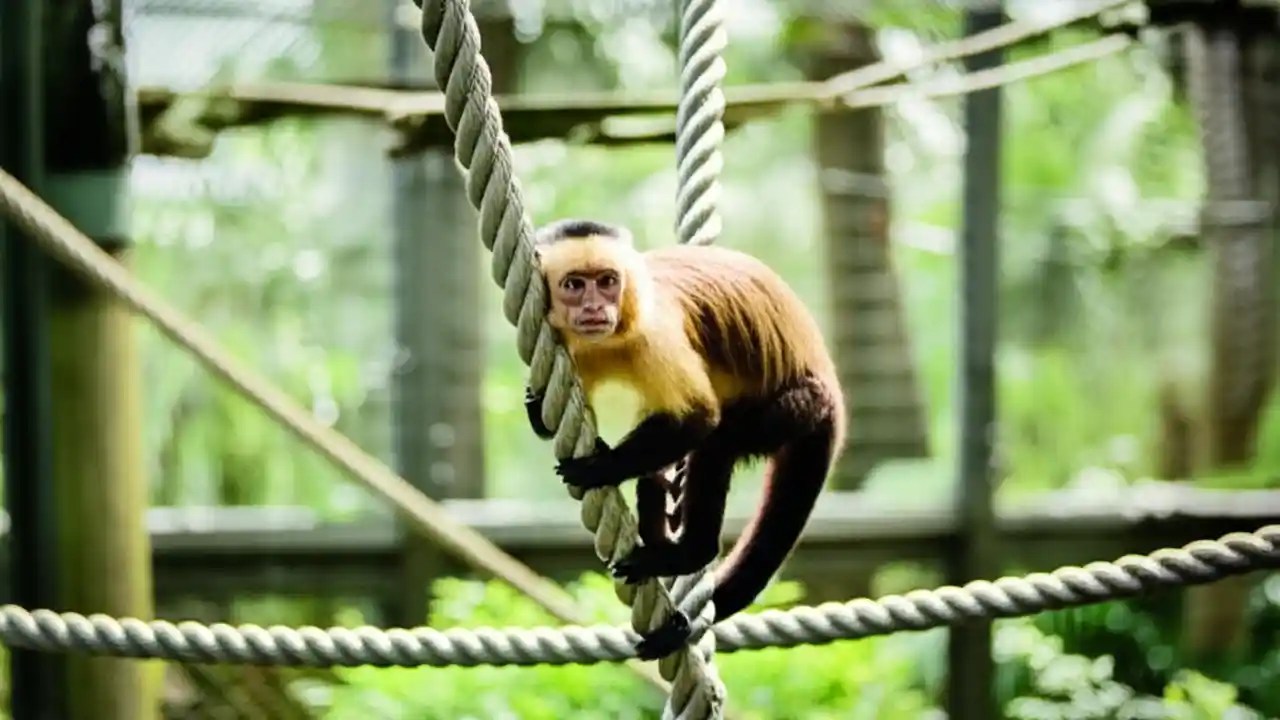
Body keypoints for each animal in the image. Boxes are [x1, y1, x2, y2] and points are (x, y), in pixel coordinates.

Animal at [523, 218, 846, 660]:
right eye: (574, 284)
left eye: (607, 281)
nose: (594, 308)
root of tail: (833, 397)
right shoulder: (568, 345)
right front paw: (538, 408)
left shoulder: (655, 332)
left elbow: (698, 419)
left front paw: (601, 466)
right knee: (659, 470)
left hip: (801, 406)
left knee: (717, 444)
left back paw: (689, 553)